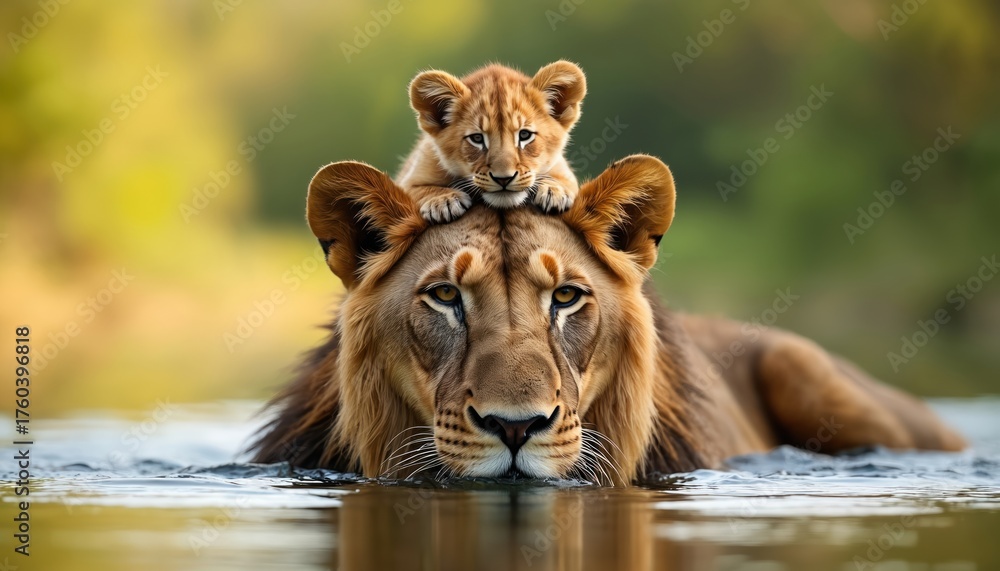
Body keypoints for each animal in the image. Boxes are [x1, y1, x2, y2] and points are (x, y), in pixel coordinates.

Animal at [398, 61, 586, 223]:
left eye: (525, 135)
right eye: (477, 138)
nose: (504, 179)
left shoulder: (562, 170)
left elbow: (565, 182)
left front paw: (555, 192)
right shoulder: (409, 178)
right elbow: (418, 190)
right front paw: (443, 201)